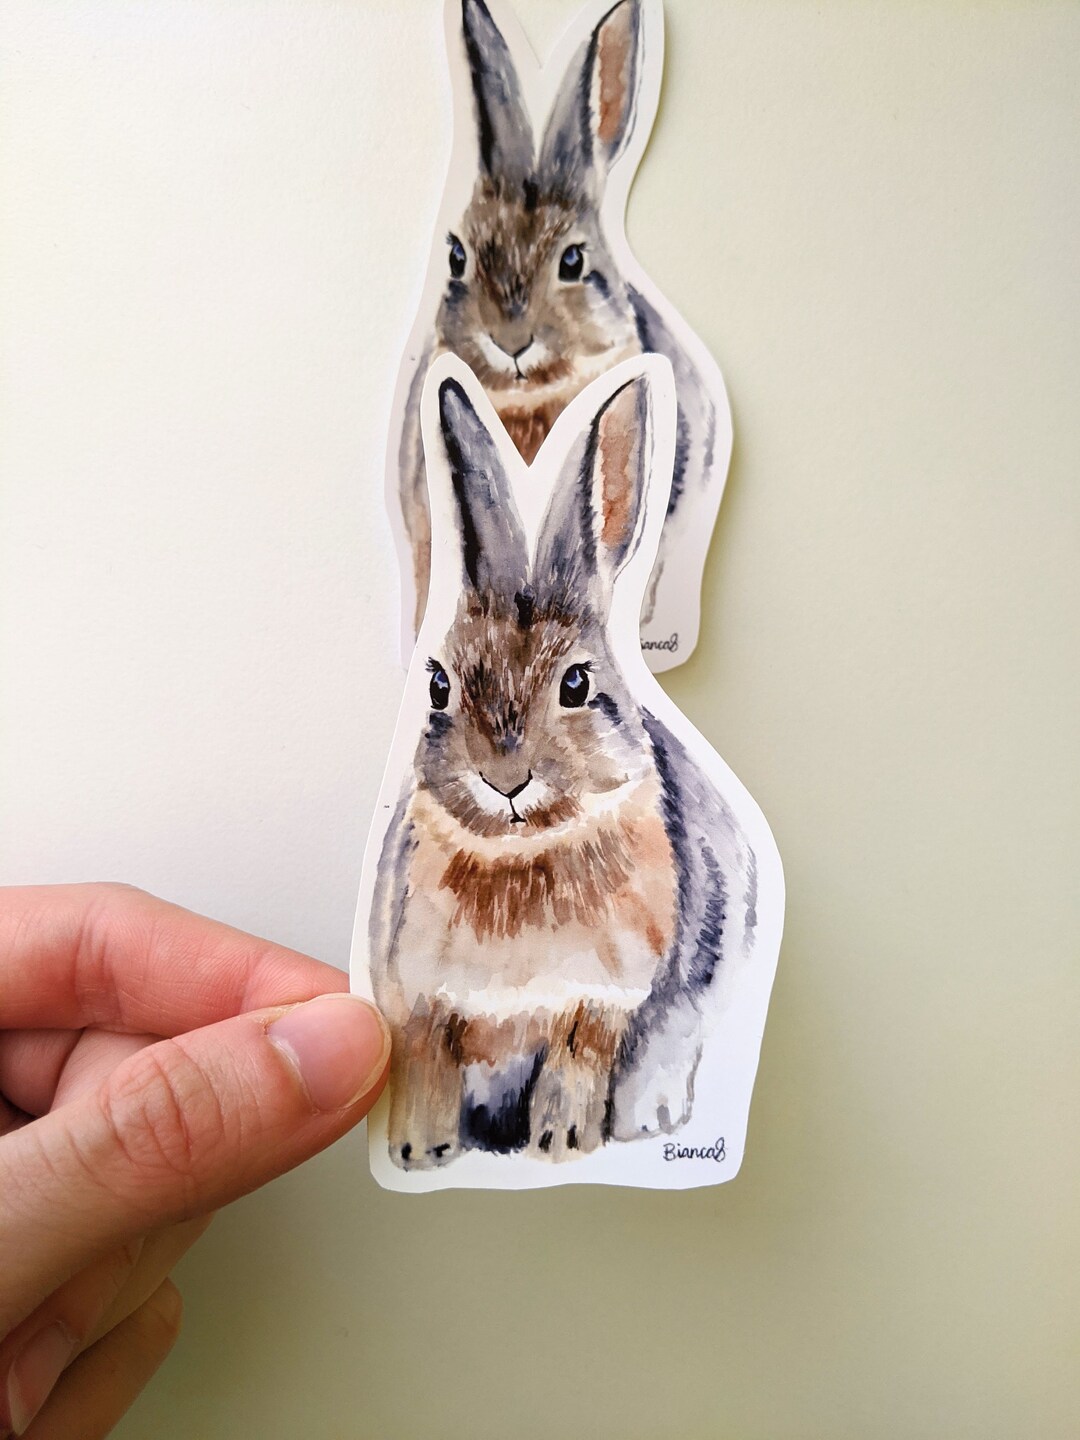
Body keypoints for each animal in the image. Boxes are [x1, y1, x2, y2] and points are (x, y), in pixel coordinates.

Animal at [367, 352, 761, 1171]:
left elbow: (576, 1062)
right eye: (438, 684)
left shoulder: (601, 1002)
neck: (525, 855)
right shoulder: (418, 1001)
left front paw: (562, 1144)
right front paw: (420, 1153)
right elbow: (426, 1066)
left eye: (576, 684)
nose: (504, 779)